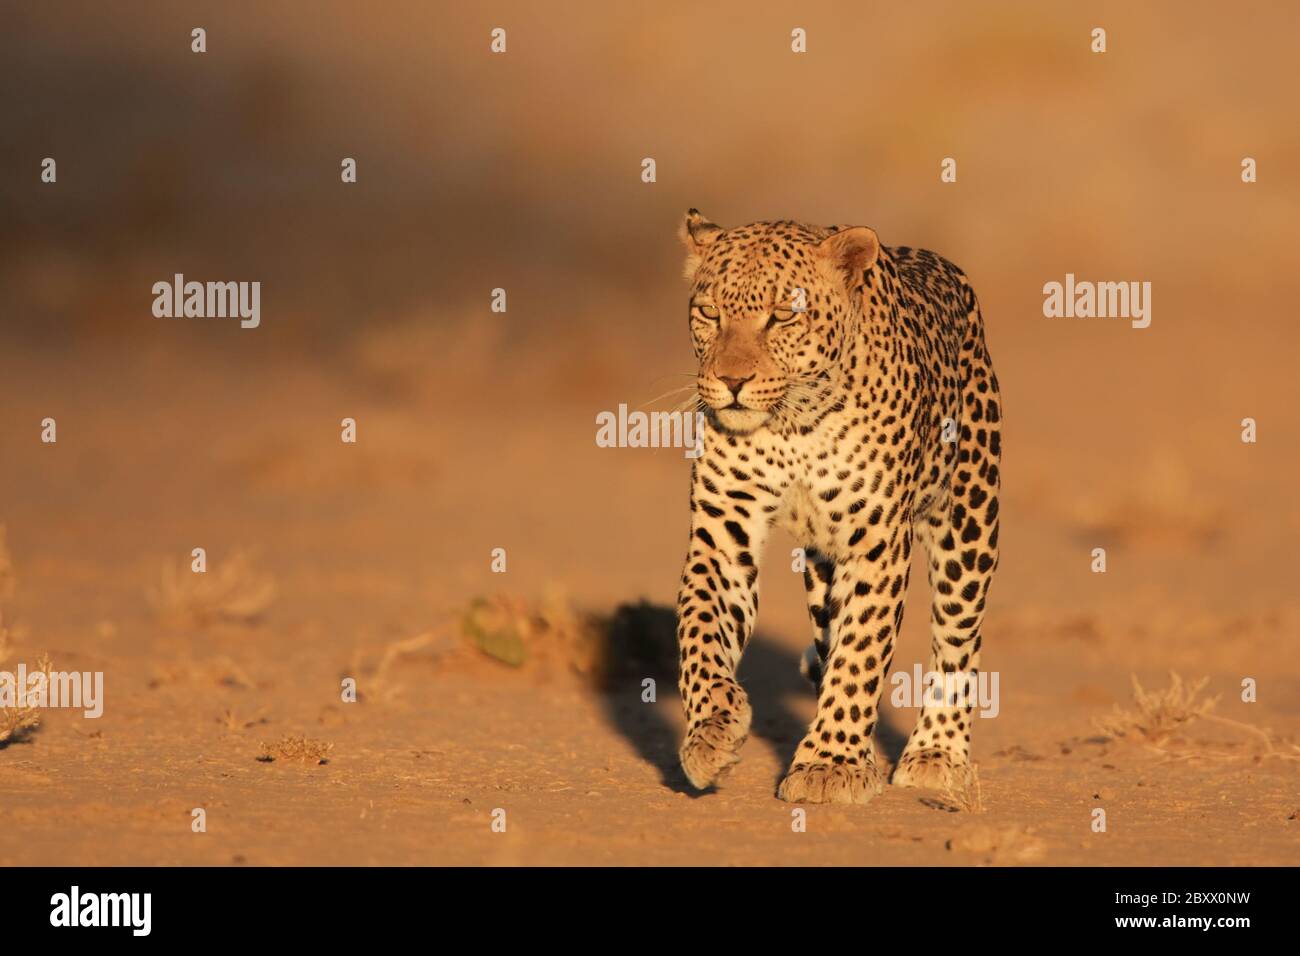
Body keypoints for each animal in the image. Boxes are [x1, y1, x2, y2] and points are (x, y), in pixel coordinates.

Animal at [673, 210, 1001, 804]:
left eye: (782, 316)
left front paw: (830, 764)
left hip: (969, 519)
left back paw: (936, 752)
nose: (731, 381)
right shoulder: (722, 532)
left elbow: (861, 655)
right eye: (709, 313)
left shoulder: (876, 544)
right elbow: (701, 633)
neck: (792, 424)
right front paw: (711, 732)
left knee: (958, 636)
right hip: (823, 567)